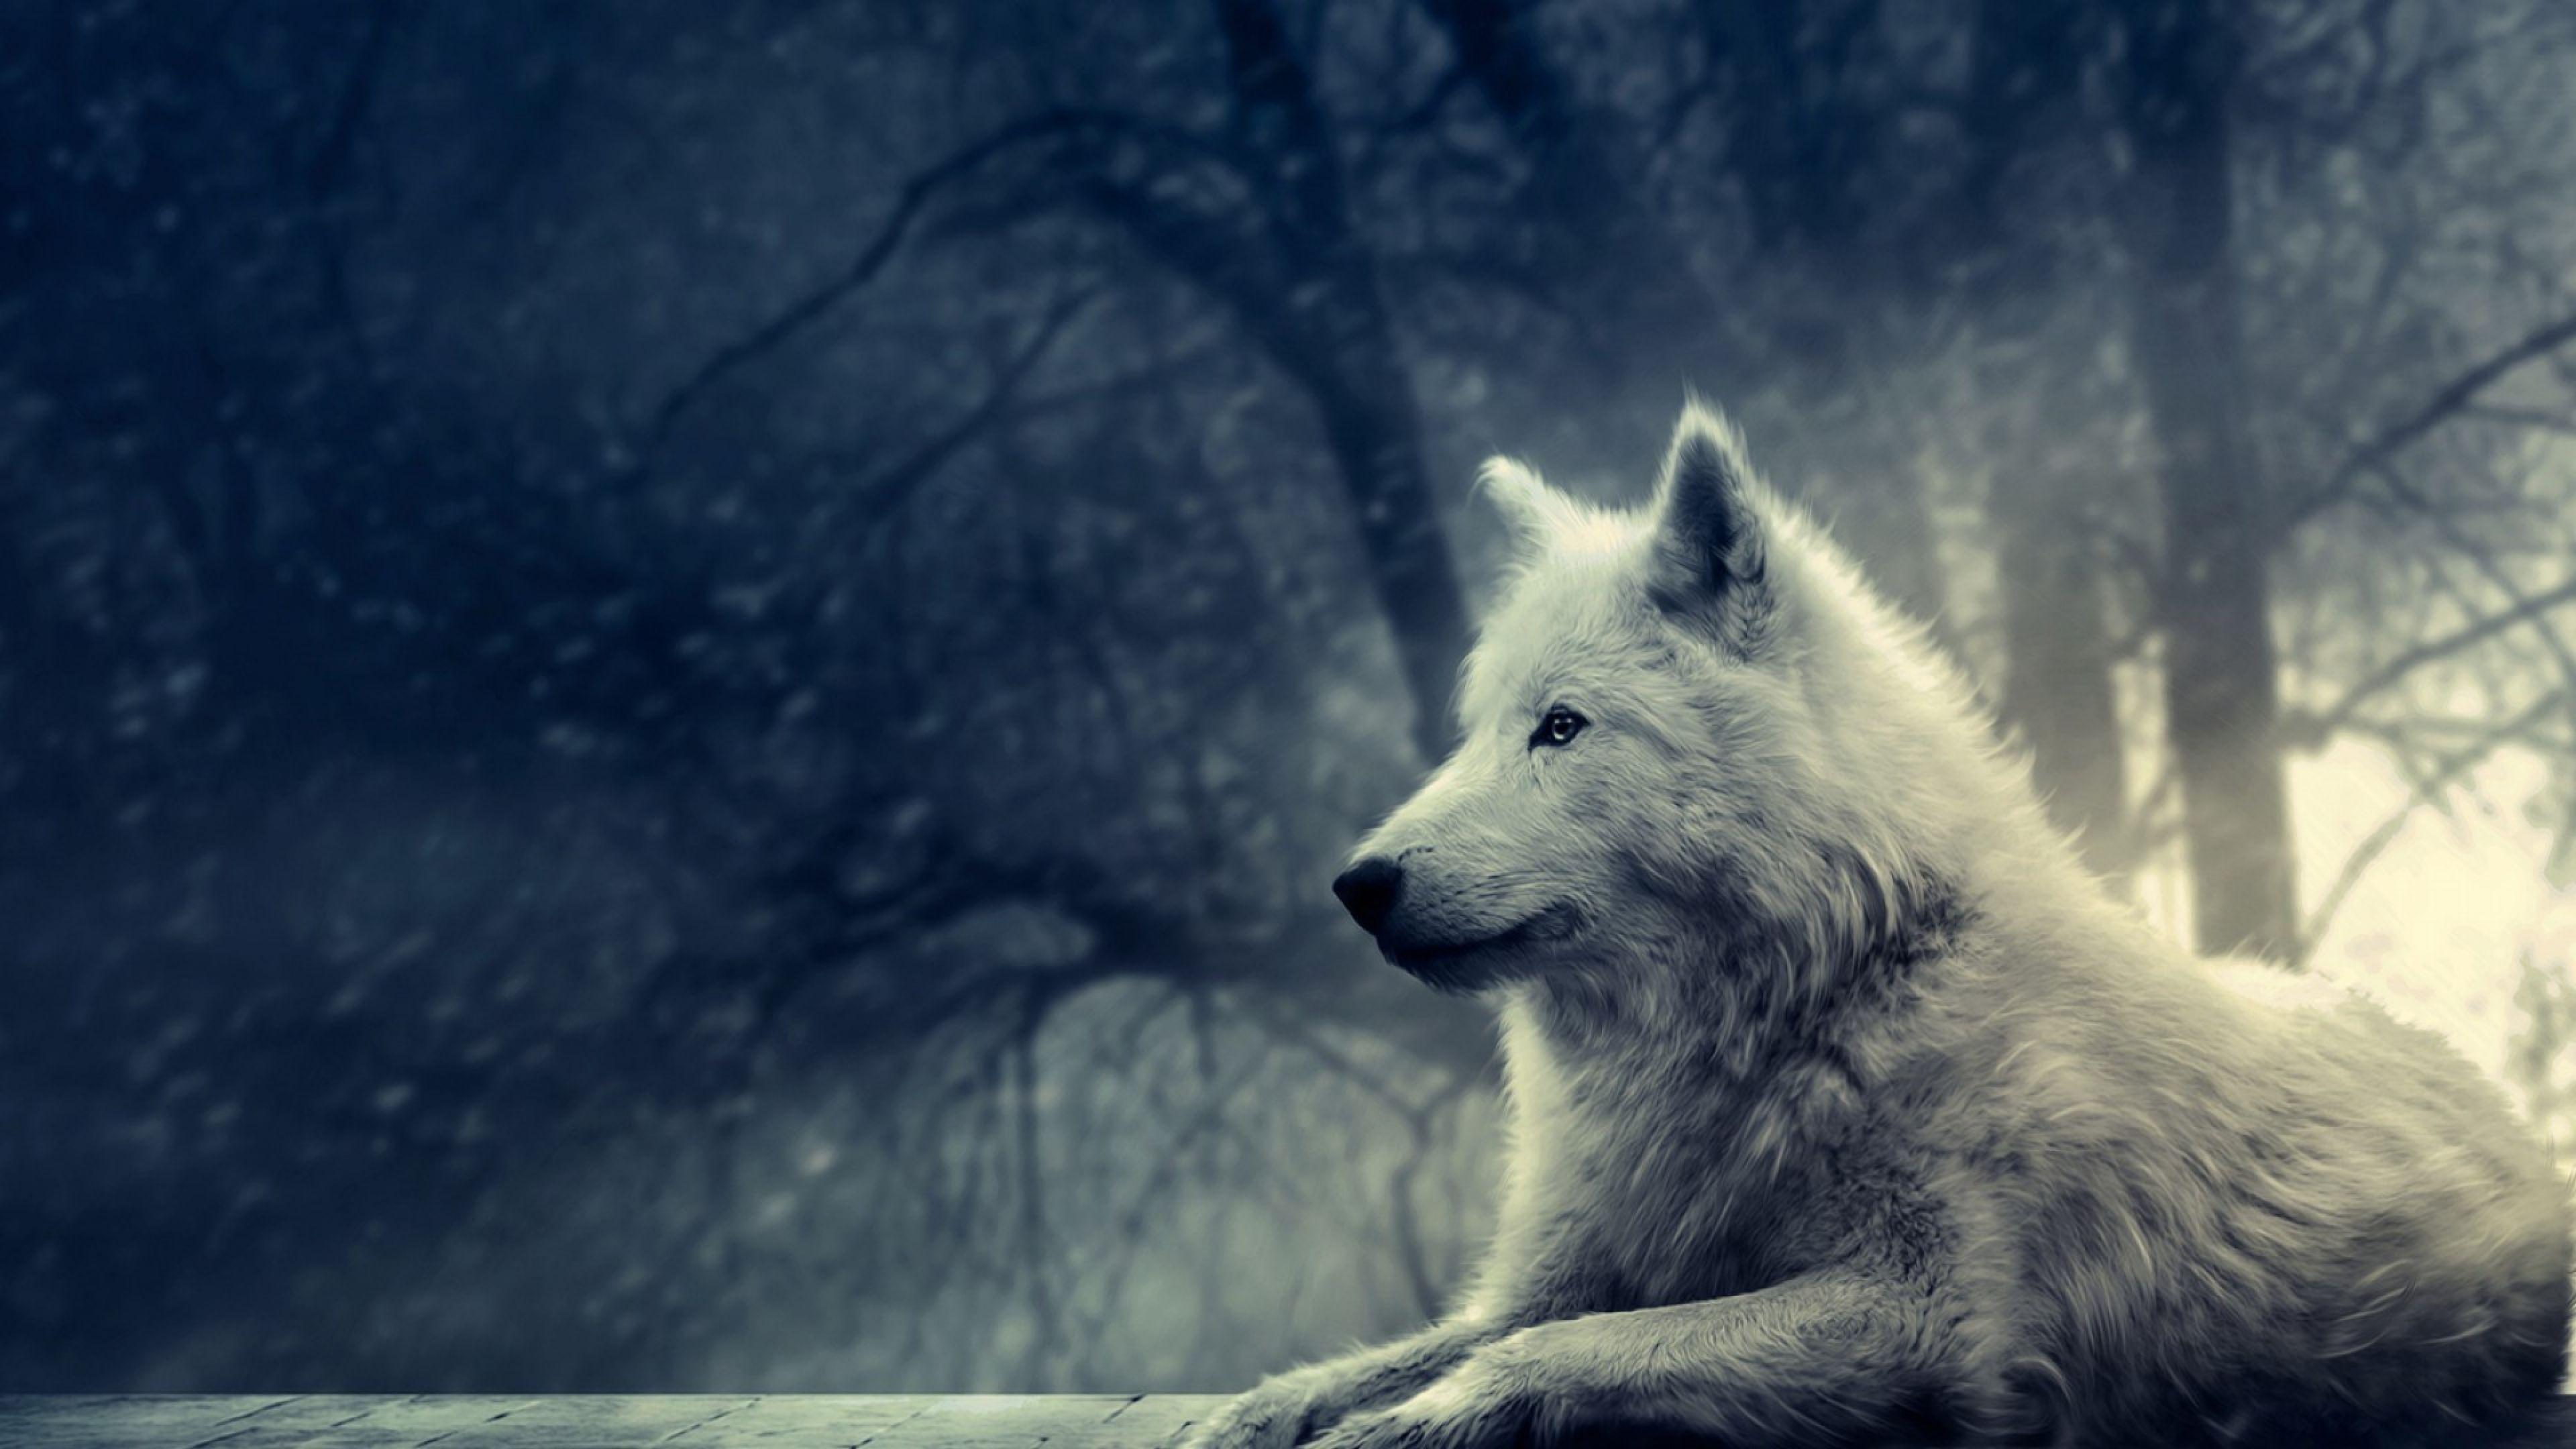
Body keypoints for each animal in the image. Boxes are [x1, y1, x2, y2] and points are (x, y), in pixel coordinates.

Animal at [1185, 407, 2571, 1448]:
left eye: (1562, 727)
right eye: (1475, 731)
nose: (1357, 883)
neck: (1821, 992)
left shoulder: (1924, 1318)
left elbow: (1560, 1352)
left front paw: (1412, 1423)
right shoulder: (1554, 1271)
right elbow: (1391, 1357)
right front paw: (1257, 1414)